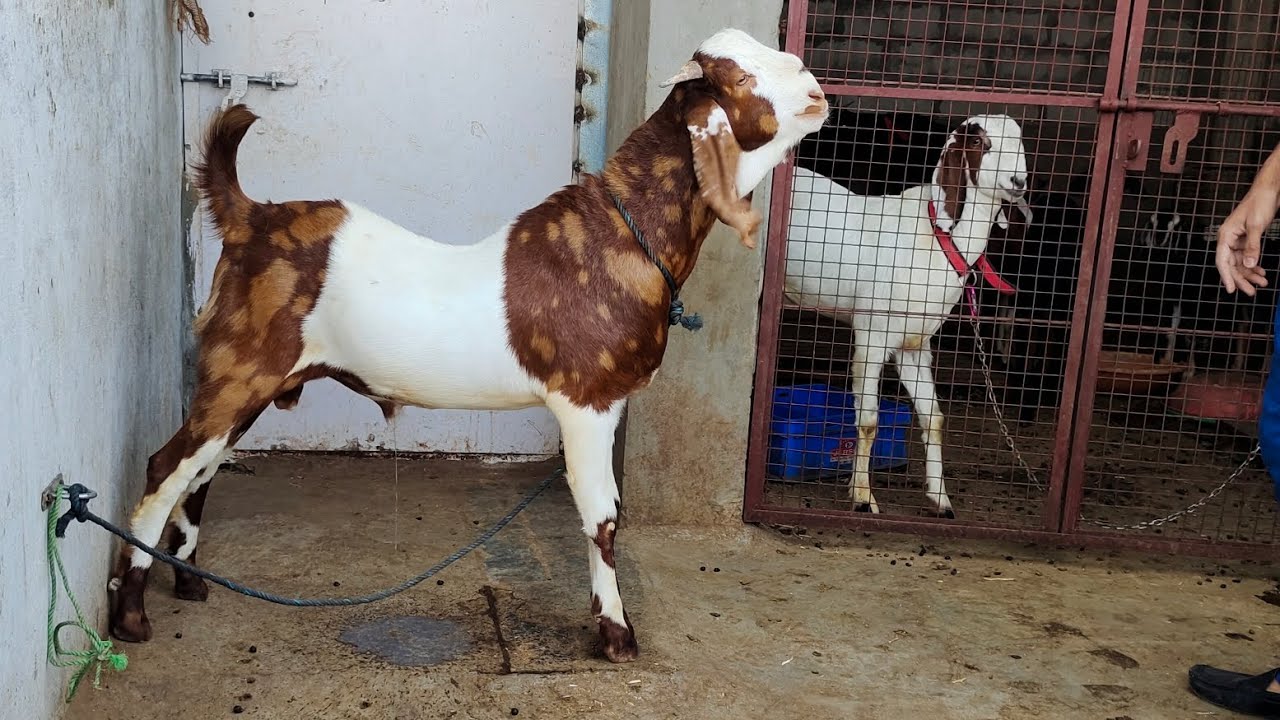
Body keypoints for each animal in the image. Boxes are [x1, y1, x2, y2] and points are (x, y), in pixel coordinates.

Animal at [106, 28, 829, 663]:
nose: (812, 81)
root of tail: (248, 216)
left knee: (201, 469)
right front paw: (616, 636)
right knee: (166, 466)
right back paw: (130, 616)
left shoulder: (612, 401)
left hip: (251, 381)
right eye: (737, 79)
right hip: (241, 367)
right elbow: (602, 517)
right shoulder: (587, 402)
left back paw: (189, 581)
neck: (628, 234)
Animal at [783, 116, 1029, 517]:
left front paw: (941, 499)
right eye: (981, 143)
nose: (1018, 181)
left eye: (1020, 142)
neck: (937, 236)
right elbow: (869, 421)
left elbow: (934, 417)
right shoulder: (873, 335)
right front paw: (863, 497)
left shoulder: (913, 346)